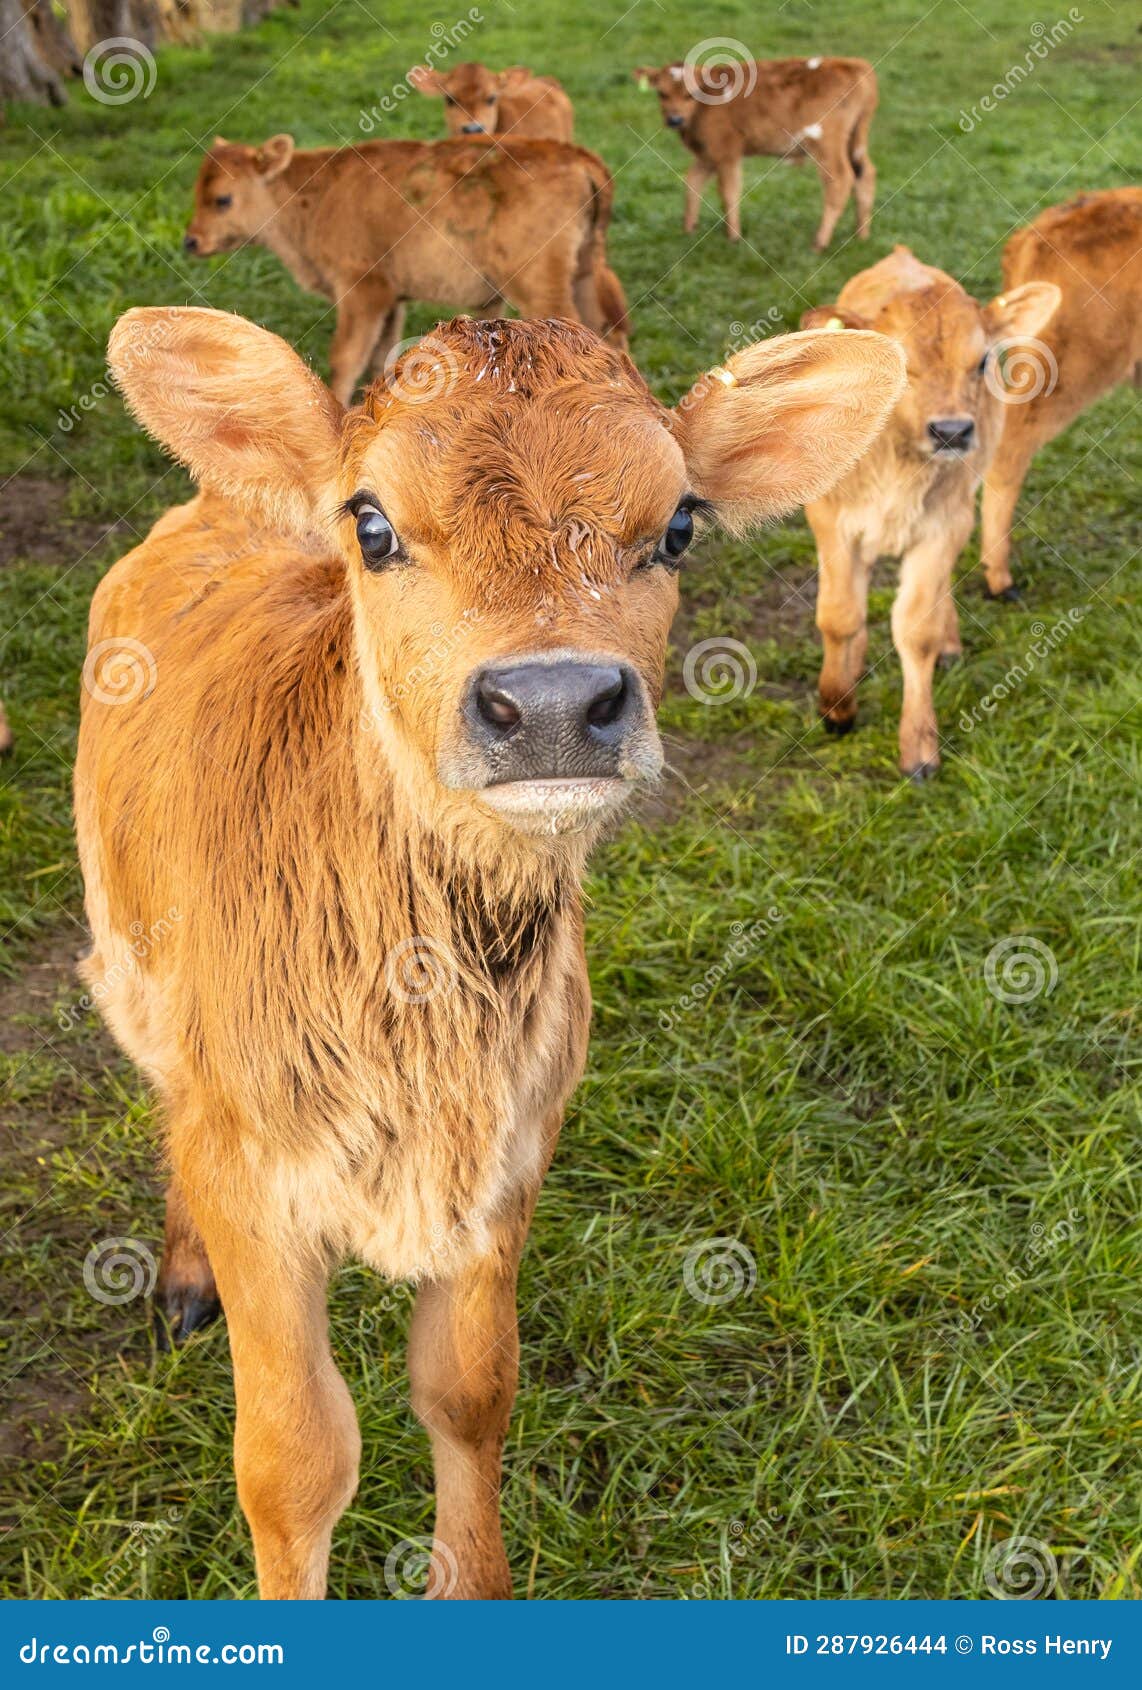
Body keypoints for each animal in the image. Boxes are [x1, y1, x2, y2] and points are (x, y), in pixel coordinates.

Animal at [76, 305, 905, 1598]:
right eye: (370, 523)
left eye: (677, 523)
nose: (555, 703)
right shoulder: (252, 1171)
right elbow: (295, 1458)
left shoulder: (513, 1159)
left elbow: (469, 1394)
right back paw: (177, 1275)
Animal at [182, 135, 628, 405]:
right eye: (197, 193)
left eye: (223, 199)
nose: (191, 241)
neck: (313, 192)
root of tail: (576, 156)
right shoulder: (393, 300)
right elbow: (382, 358)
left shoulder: (363, 292)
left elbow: (345, 359)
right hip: (585, 273)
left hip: (539, 287)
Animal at [633, 56, 877, 249]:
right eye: (661, 93)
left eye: (689, 95)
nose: (674, 119)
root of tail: (852, 64)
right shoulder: (707, 154)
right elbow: (692, 184)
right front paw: (688, 231)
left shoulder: (726, 150)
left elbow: (729, 192)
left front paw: (733, 238)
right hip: (855, 142)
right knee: (865, 174)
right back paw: (861, 236)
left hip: (826, 142)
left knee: (840, 179)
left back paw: (820, 242)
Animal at [800, 247, 1059, 778]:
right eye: (900, 364)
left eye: (982, 360)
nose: (952, 431)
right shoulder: (831, 519)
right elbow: (839, 617)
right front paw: (837, 707)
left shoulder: (942, 526)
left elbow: (916, 631)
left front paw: (918, 748)